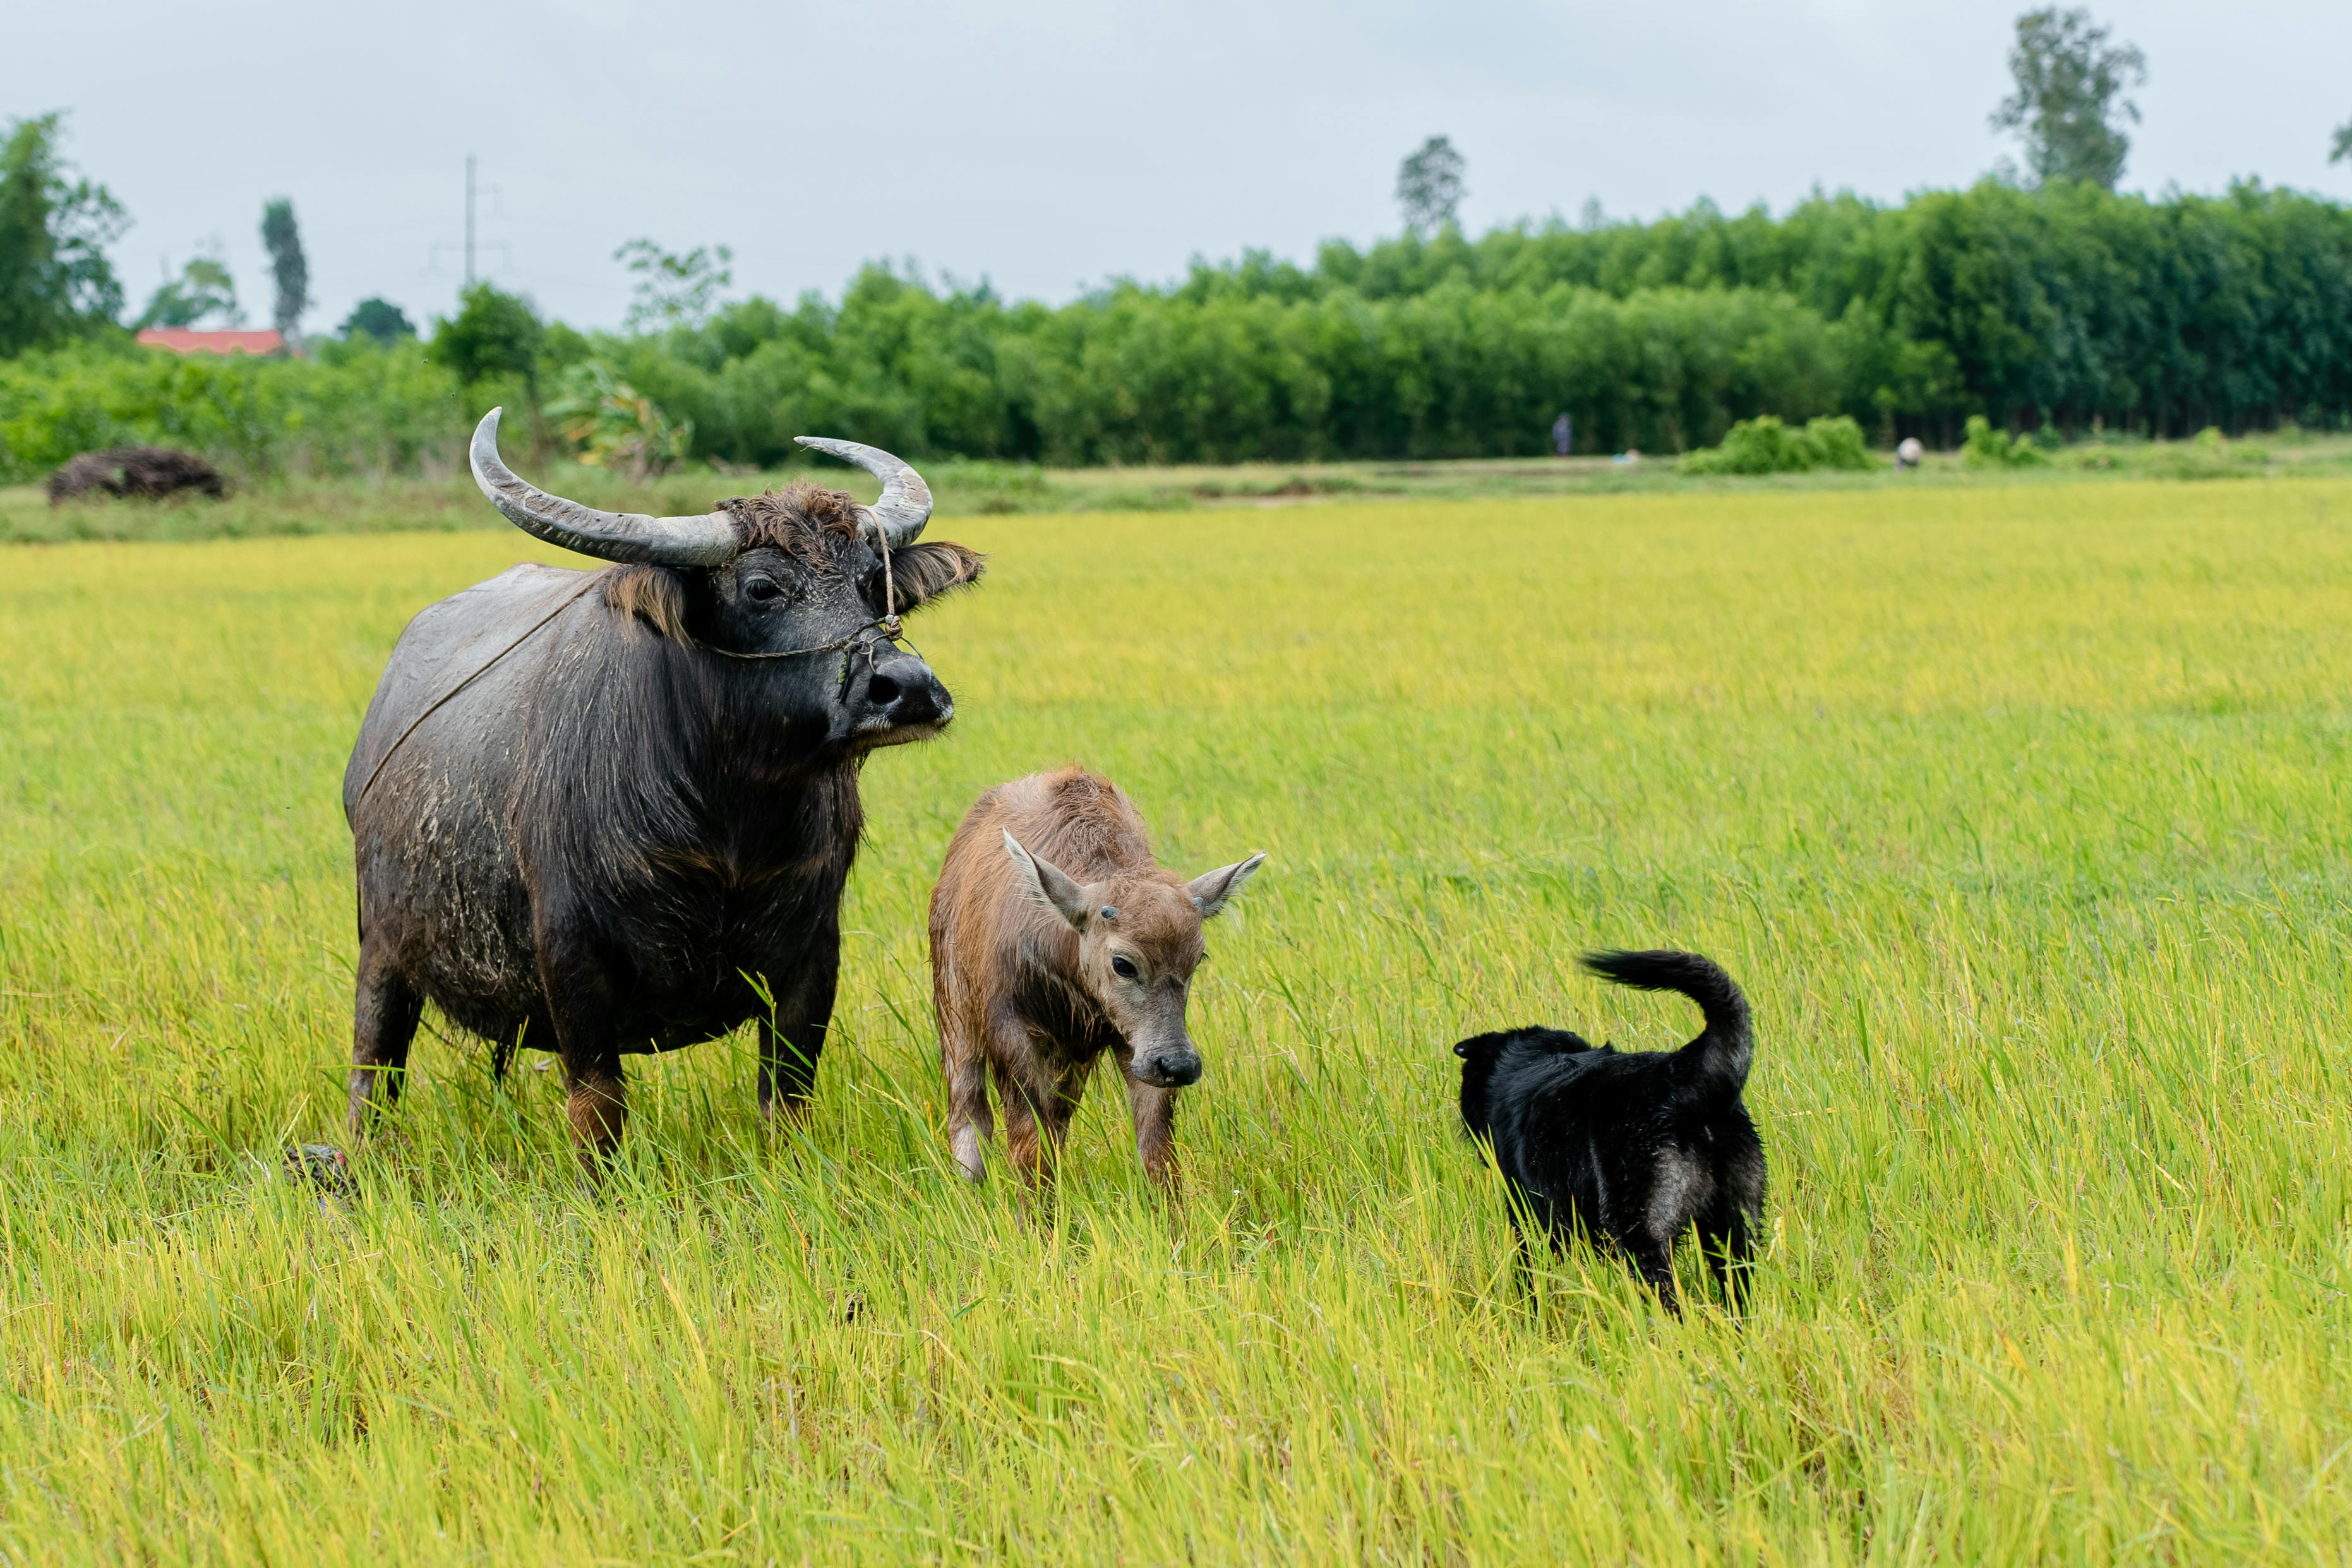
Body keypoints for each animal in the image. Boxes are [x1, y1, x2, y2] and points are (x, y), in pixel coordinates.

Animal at [344, 408, 982, 1164]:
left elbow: (787, 1098)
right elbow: (598, 1105)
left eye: (869, 583)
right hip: (381, 956)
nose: (906, 686)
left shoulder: (813, 955)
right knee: (372, 1072)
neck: (730, 821)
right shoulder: (569, 958)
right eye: (761, 587)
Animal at [928, 767, 1264, 1190]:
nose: (1178, 1065)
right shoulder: (1010, 1033)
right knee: (969, 1112)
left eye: (1197, 958)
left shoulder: (1130, 1046)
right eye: (1123, 963)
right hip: (956, 1012)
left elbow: (1157, 1150)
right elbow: (1028, 1145)